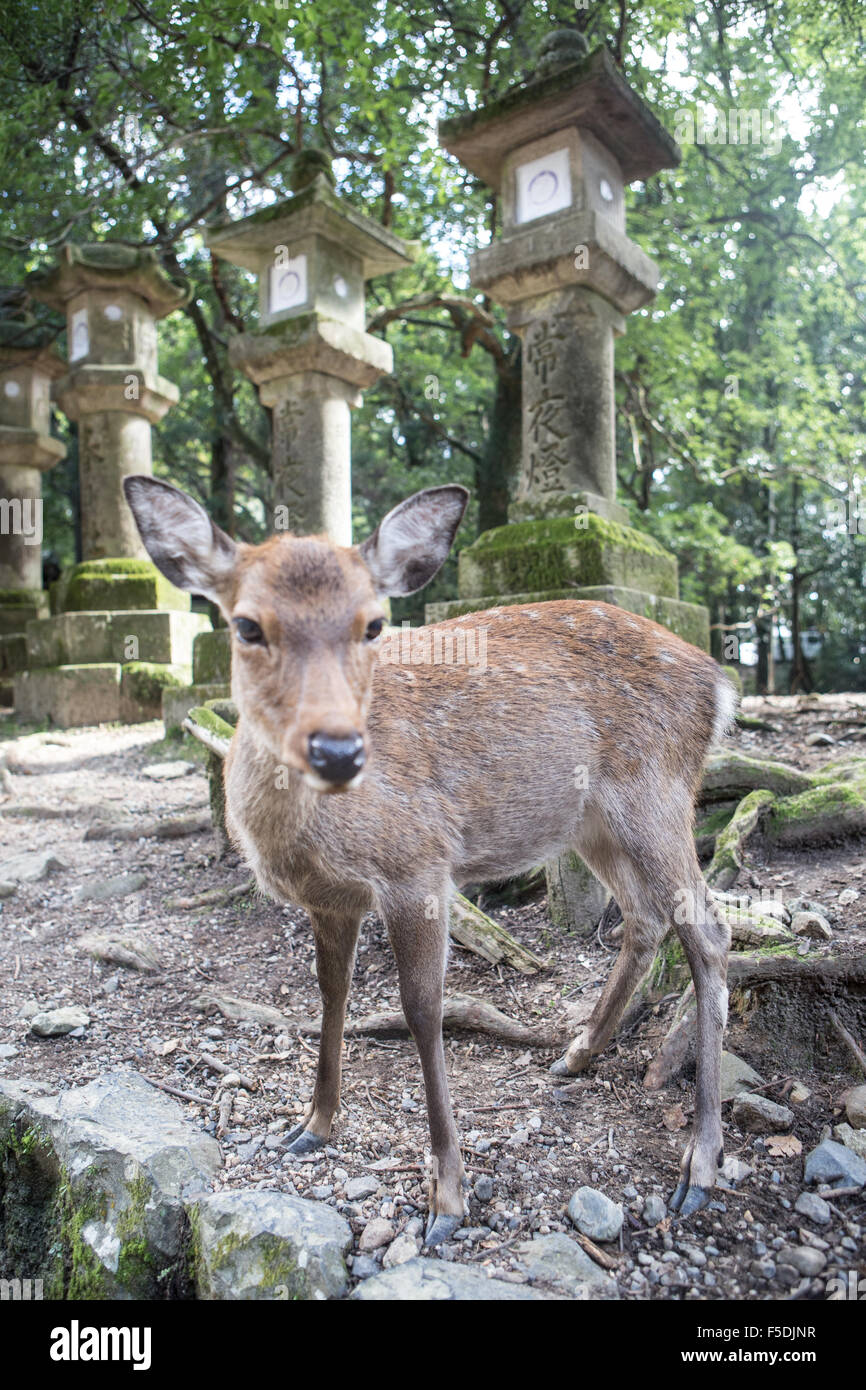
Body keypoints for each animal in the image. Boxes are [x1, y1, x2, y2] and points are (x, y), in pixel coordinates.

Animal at [124, 475, 736, 1246]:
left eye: (373, 625)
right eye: (246, 625)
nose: (337, 750)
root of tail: (718, 684)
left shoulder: (416, 866)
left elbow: (421, 1009)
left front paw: (447, 1196)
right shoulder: (332, 898)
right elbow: (331, 993)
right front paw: (312, 1124)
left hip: (657, 794)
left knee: (709, 932)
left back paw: (701, 1163)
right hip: (592, 822)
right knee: (645, 916)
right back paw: (576, 1052)